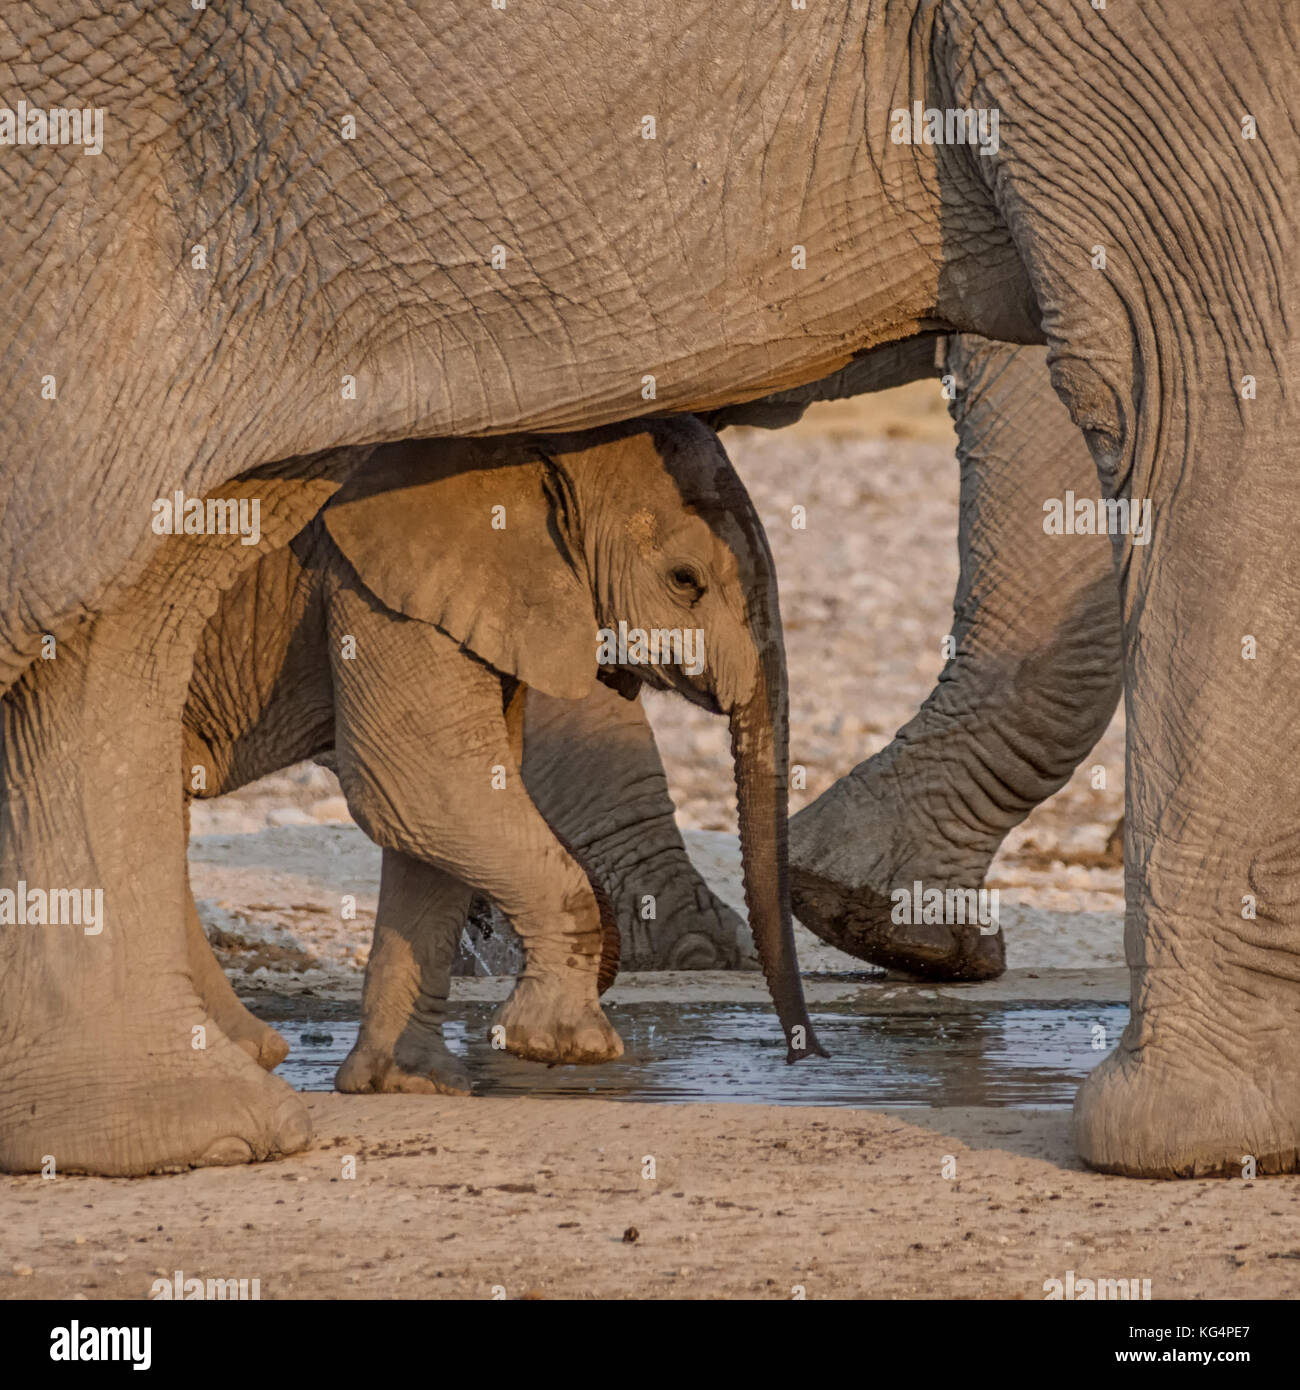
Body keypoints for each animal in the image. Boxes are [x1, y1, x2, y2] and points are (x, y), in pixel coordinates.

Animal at [3, 1, 1295, 1178]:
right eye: (682, 578)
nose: (802, 1055)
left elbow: (438, 805)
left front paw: (418, 1082)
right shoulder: (396, 593)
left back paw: (191, 1119)